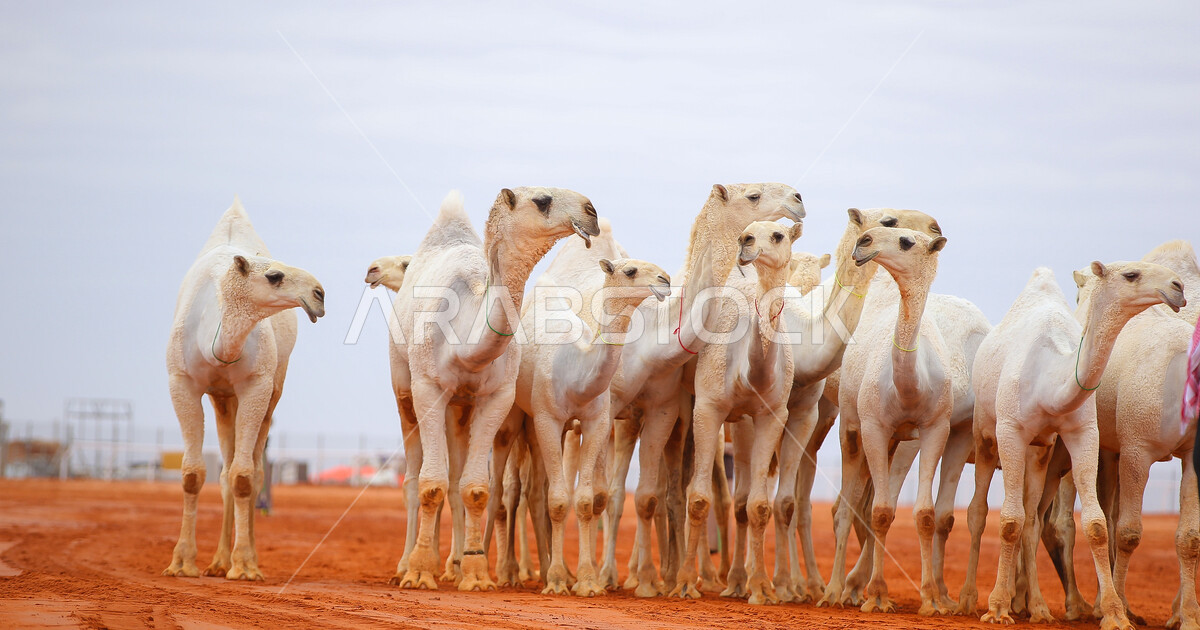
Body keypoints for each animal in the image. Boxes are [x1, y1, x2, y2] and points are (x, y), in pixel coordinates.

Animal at [163, 197, 325, 580]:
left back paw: (241, 555)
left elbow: (244, 476)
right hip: (222, 399)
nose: (320, 293)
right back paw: (218, 560)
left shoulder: (257, 386)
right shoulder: (182, 382)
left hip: (269, 393)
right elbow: (193, 474)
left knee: (254, 471)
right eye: (274, 275)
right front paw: (182, 562)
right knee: (223, 470)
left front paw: (246, 565)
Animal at [391, 187, 599, 591]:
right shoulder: (428, 388)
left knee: (457, 476)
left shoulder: (497, 397)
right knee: (412, 477)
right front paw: (420, 572)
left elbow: (474, 488)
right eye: (542, 200)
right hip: (403, 388)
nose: (592, 210)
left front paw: (475, 574)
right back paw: (404, 566)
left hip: (461, 407)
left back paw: (454, 565)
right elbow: (430, 484)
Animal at [599, 184, 805, 596]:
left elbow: (652, 497)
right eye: (753, 195)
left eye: (777, 235)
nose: (798, 198)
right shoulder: (623, 409)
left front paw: (658, 582)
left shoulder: (668, 409)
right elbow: (615, 494)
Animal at [957, 261, 1185, 629]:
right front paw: (996, 608)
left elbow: (1095, 525)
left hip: (1043, 453)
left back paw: (1037, 607)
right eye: (1131, 275)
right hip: (984, 434)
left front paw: (1115, 614)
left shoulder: (1082, 433)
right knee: (979, 510)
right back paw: (967, 600)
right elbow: (1008, 520)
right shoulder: (1010, 431)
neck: (1049, 381)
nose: (1178, 287)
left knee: (1033, 518)